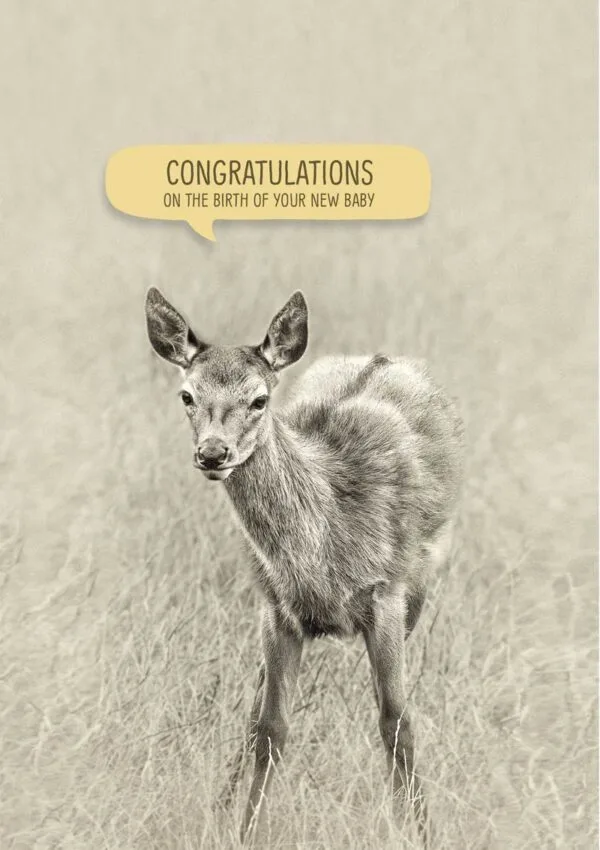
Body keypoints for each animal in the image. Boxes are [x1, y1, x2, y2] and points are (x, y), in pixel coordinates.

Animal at [144, 286, 464, 846]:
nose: (213, 453)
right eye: (186, 396)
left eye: (259, 399)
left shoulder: (386, 592)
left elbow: (397, 722)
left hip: (420, 587)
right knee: (254, 709)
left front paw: (419, 829)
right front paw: (243, 829)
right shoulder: (276, 609)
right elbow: (269, 727)